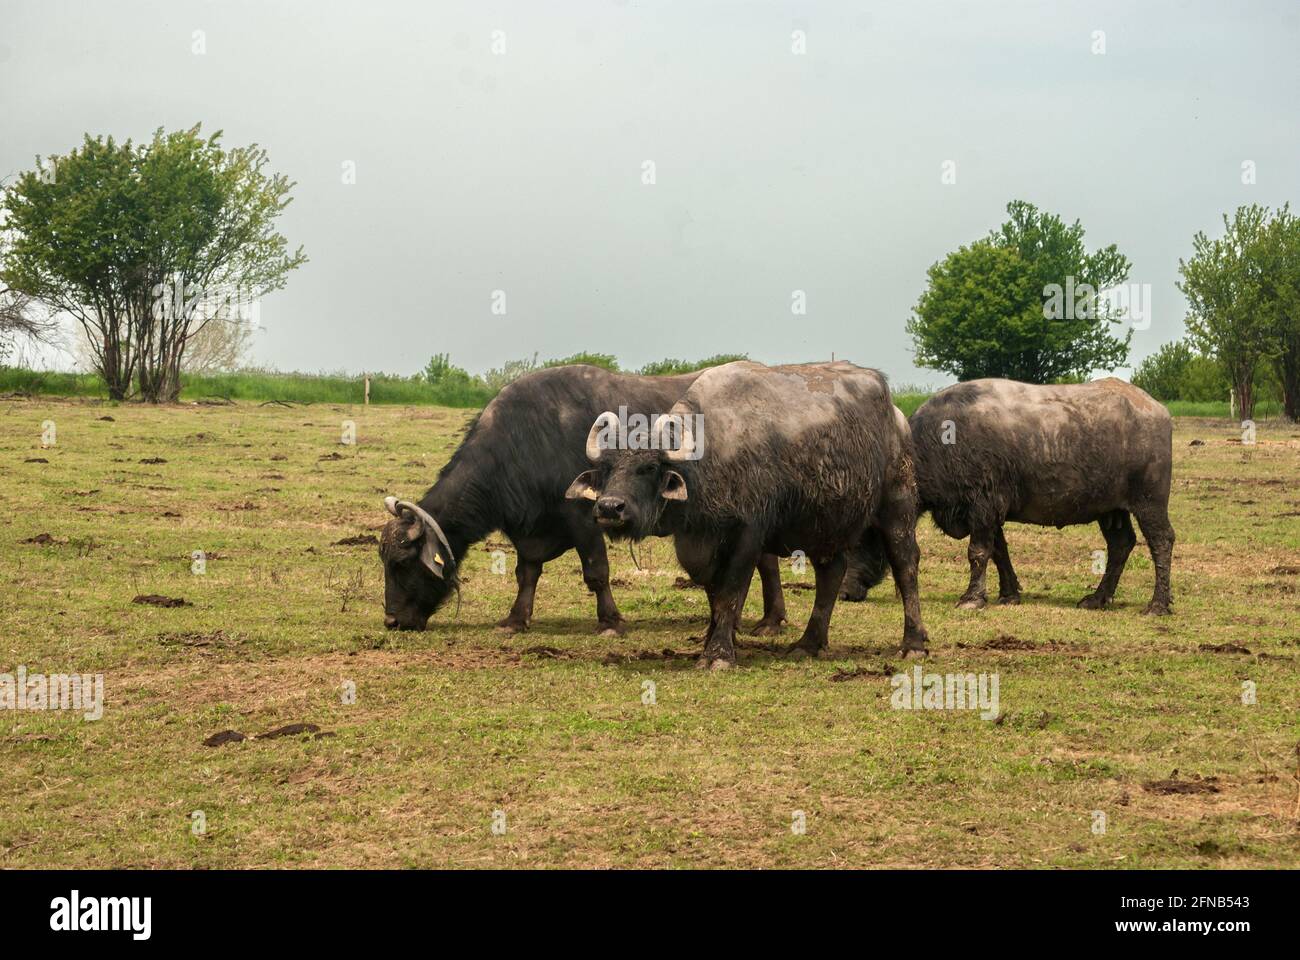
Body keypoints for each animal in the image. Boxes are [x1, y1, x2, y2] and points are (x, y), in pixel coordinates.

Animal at [566, 360, 929, 668]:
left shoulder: (748, 536)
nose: (610, 507)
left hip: (897, 502)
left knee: (905, 564)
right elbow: (713, 595)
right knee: (831, 572)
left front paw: (719, 655)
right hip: (823, 524)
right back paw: (808, 643)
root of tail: (896, 416)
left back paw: (913, 643)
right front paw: (710, 642)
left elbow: (730, 592)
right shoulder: (700, 544)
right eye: (606, 468)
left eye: (649, 467)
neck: (711, 457)